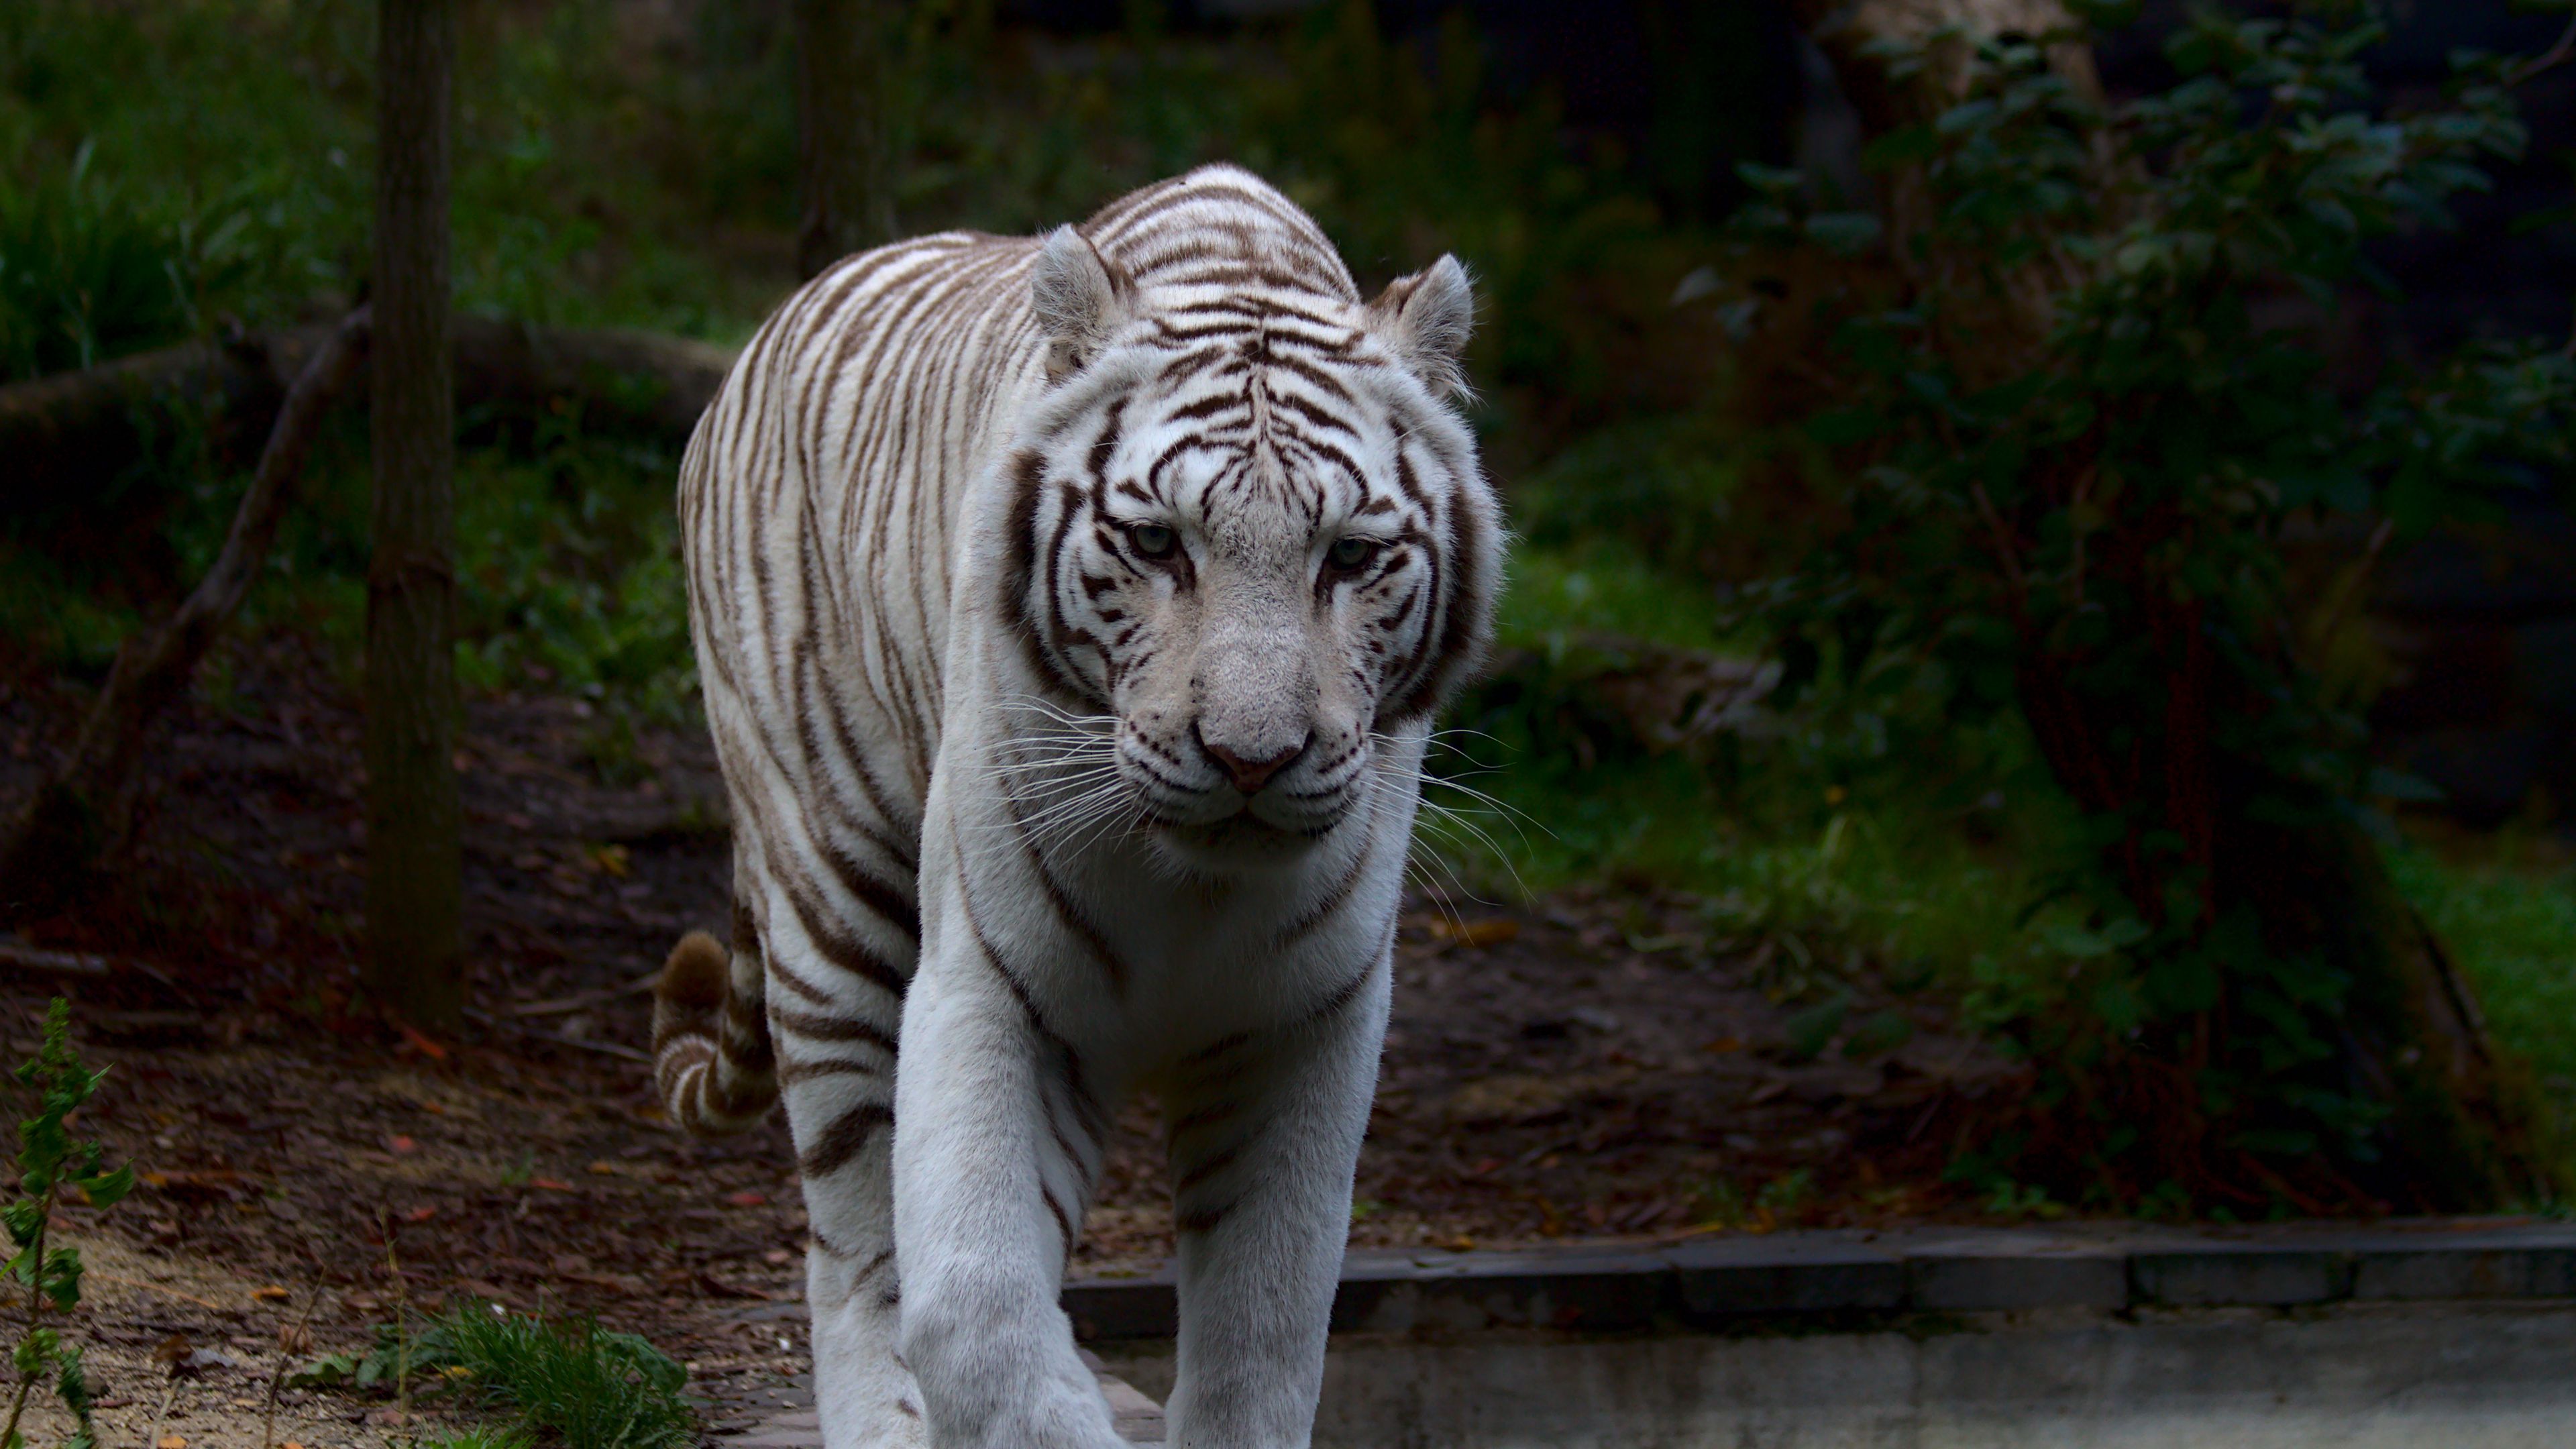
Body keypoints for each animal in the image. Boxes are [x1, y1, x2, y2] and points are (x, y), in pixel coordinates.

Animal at [650, 164, 1498, 1449]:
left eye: (1351, 557)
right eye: (1157, 544)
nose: (1252, 758)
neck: (1200, 890)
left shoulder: (1310, 1021)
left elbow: (1266, 1330)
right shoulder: (995, 988)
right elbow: (973, 1306)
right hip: (830, 907)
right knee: (851, 1247)